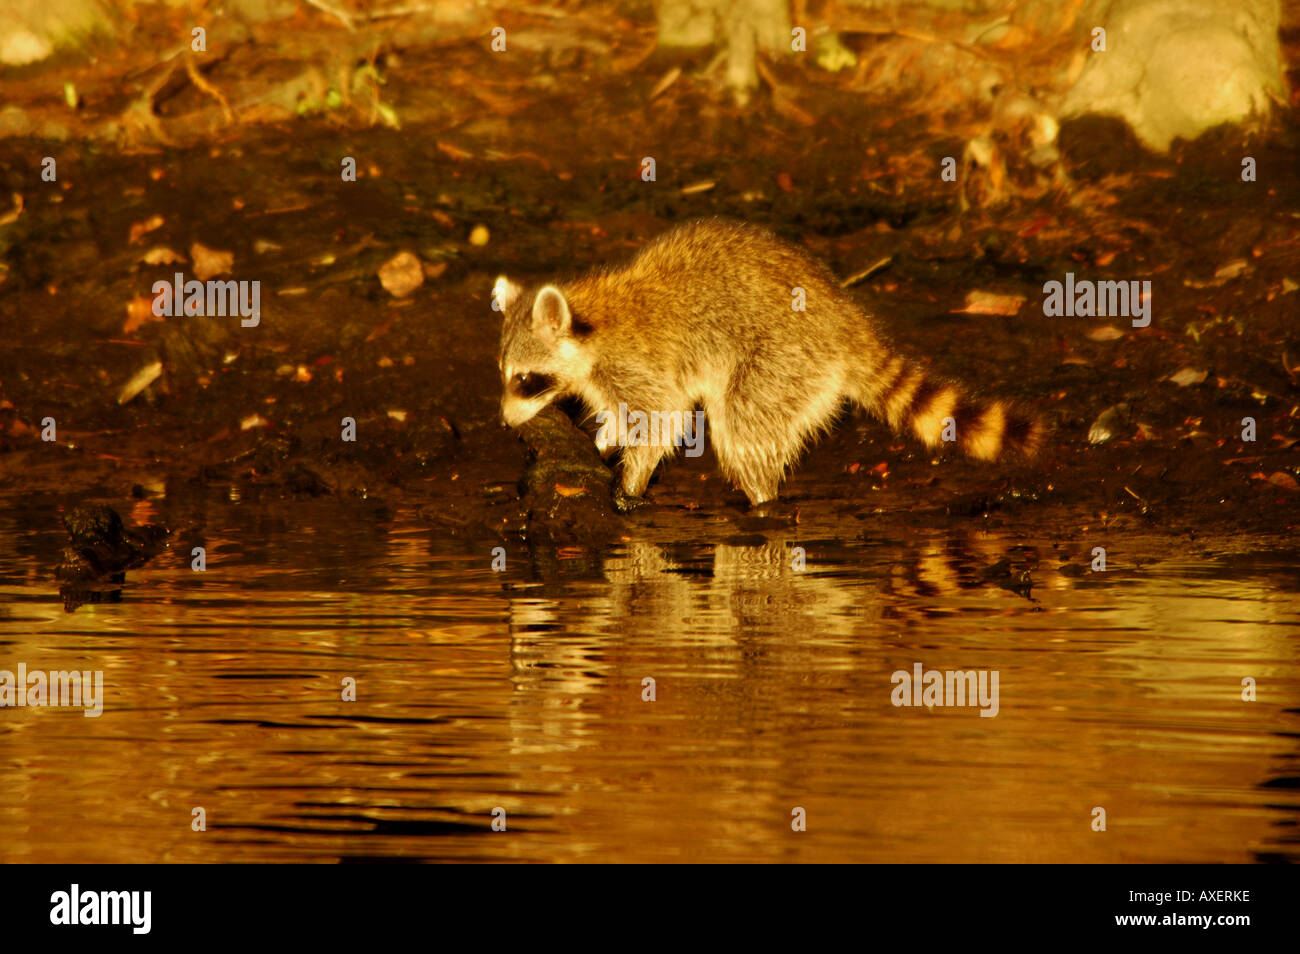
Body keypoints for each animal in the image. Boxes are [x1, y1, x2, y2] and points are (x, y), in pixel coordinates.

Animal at [495, 219, 1043, 508]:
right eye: (505, 377)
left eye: (525, 379)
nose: (504, 422)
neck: (587, 321)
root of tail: (848, 321)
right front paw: (607, 437)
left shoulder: (633, 362)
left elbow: (664, 414)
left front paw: (632, 481)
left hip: (782, 357)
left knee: (742, 425)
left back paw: (760, 501)